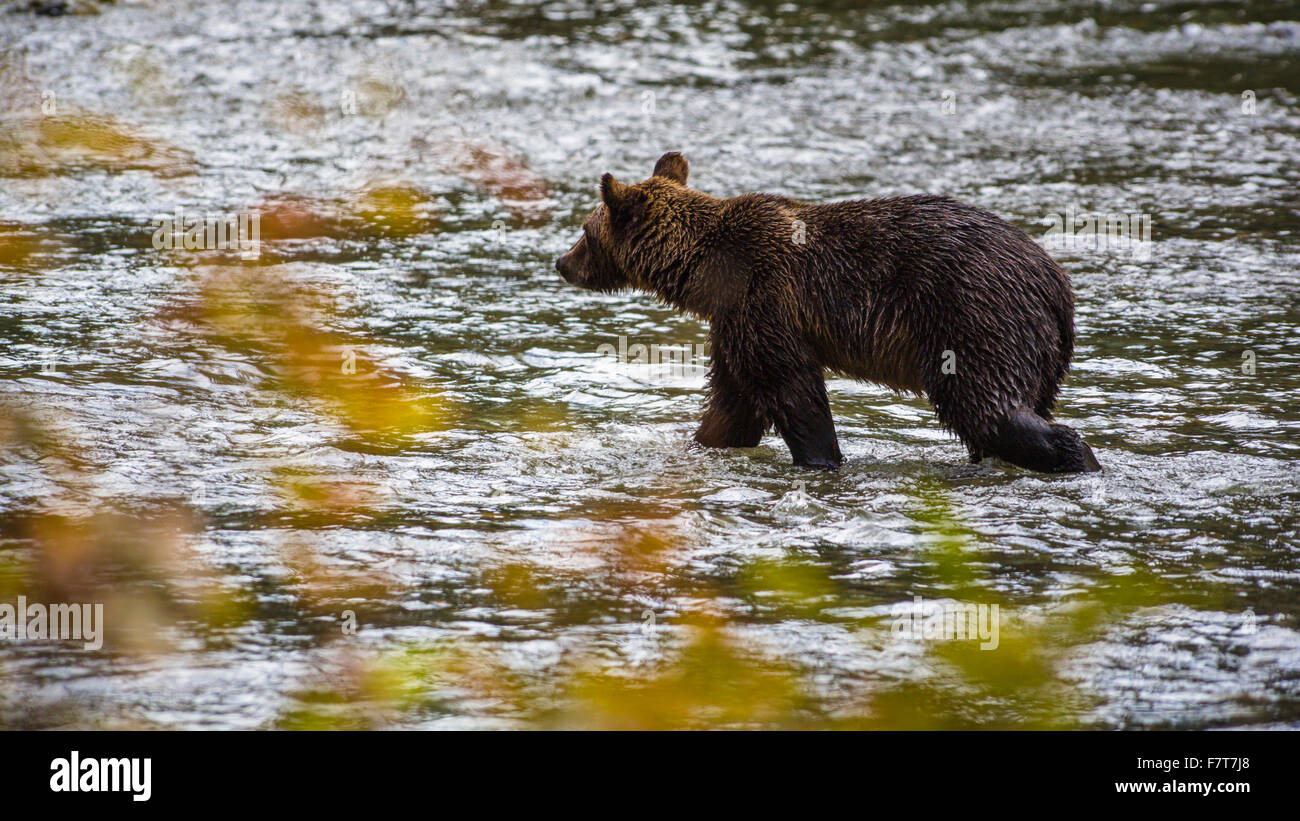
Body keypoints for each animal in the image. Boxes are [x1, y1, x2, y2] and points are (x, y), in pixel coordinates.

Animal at [556, 152, 1101, 474]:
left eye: (584, 230)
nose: (561, 262)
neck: (709, 273)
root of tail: (1056, 283)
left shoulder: (766, 300)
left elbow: (792, 392)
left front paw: (819, 458)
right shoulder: (734, 323)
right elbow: (733, 404)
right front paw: (706, 442)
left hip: (974, 316)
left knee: (987, 407)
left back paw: (1078, 457)